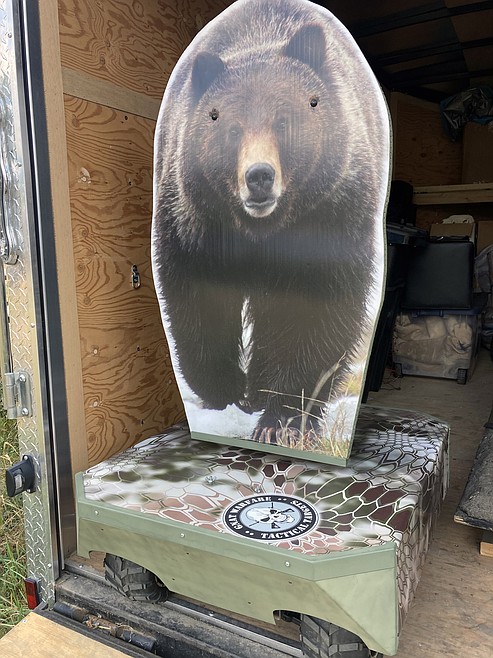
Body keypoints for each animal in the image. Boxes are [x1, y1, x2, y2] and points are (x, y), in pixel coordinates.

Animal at [151, 0, 390, 457]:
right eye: (228, 126)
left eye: (284, 121)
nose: (259, 177)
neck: (262, 232)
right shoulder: (199, 225)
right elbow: (199, 300)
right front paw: (225, 393)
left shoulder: (330, 218)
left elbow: (316, 313)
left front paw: (281, 420)